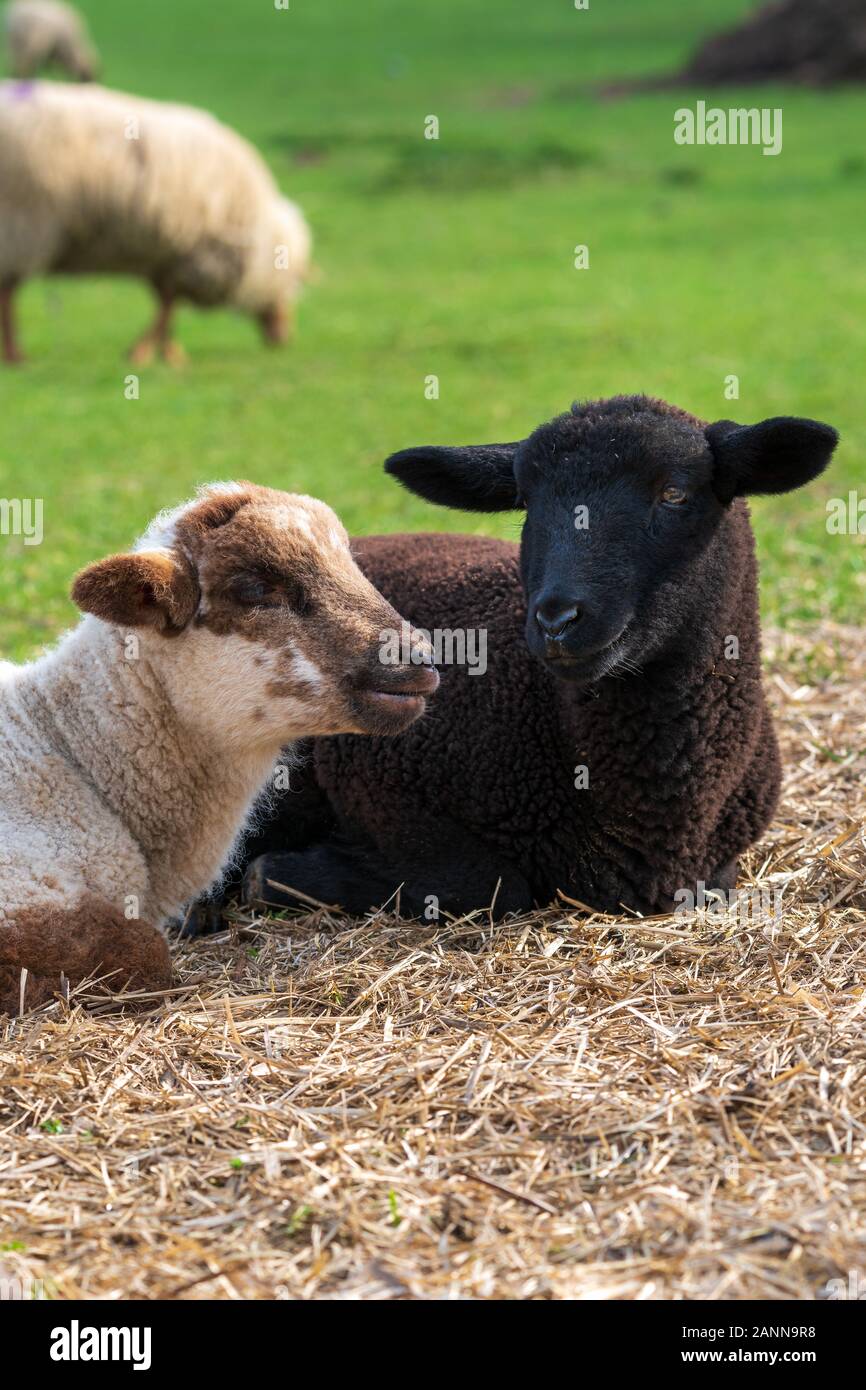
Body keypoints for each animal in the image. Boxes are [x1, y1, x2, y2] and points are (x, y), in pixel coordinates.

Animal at [0, 81, 312, 364]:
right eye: (291, 287)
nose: (284, 338)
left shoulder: (167, 257)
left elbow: (166, 303)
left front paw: (166, 352)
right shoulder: (190, 255)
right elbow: (168, 306)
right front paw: (147, 352)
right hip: (20, 227)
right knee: (8, 294)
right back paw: (15, 356)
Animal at [235, 396, 838, 923]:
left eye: (674, 493)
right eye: (527, 500)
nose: (555, 619)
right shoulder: (378, 778)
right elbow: (488, 884)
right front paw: (280, 872)